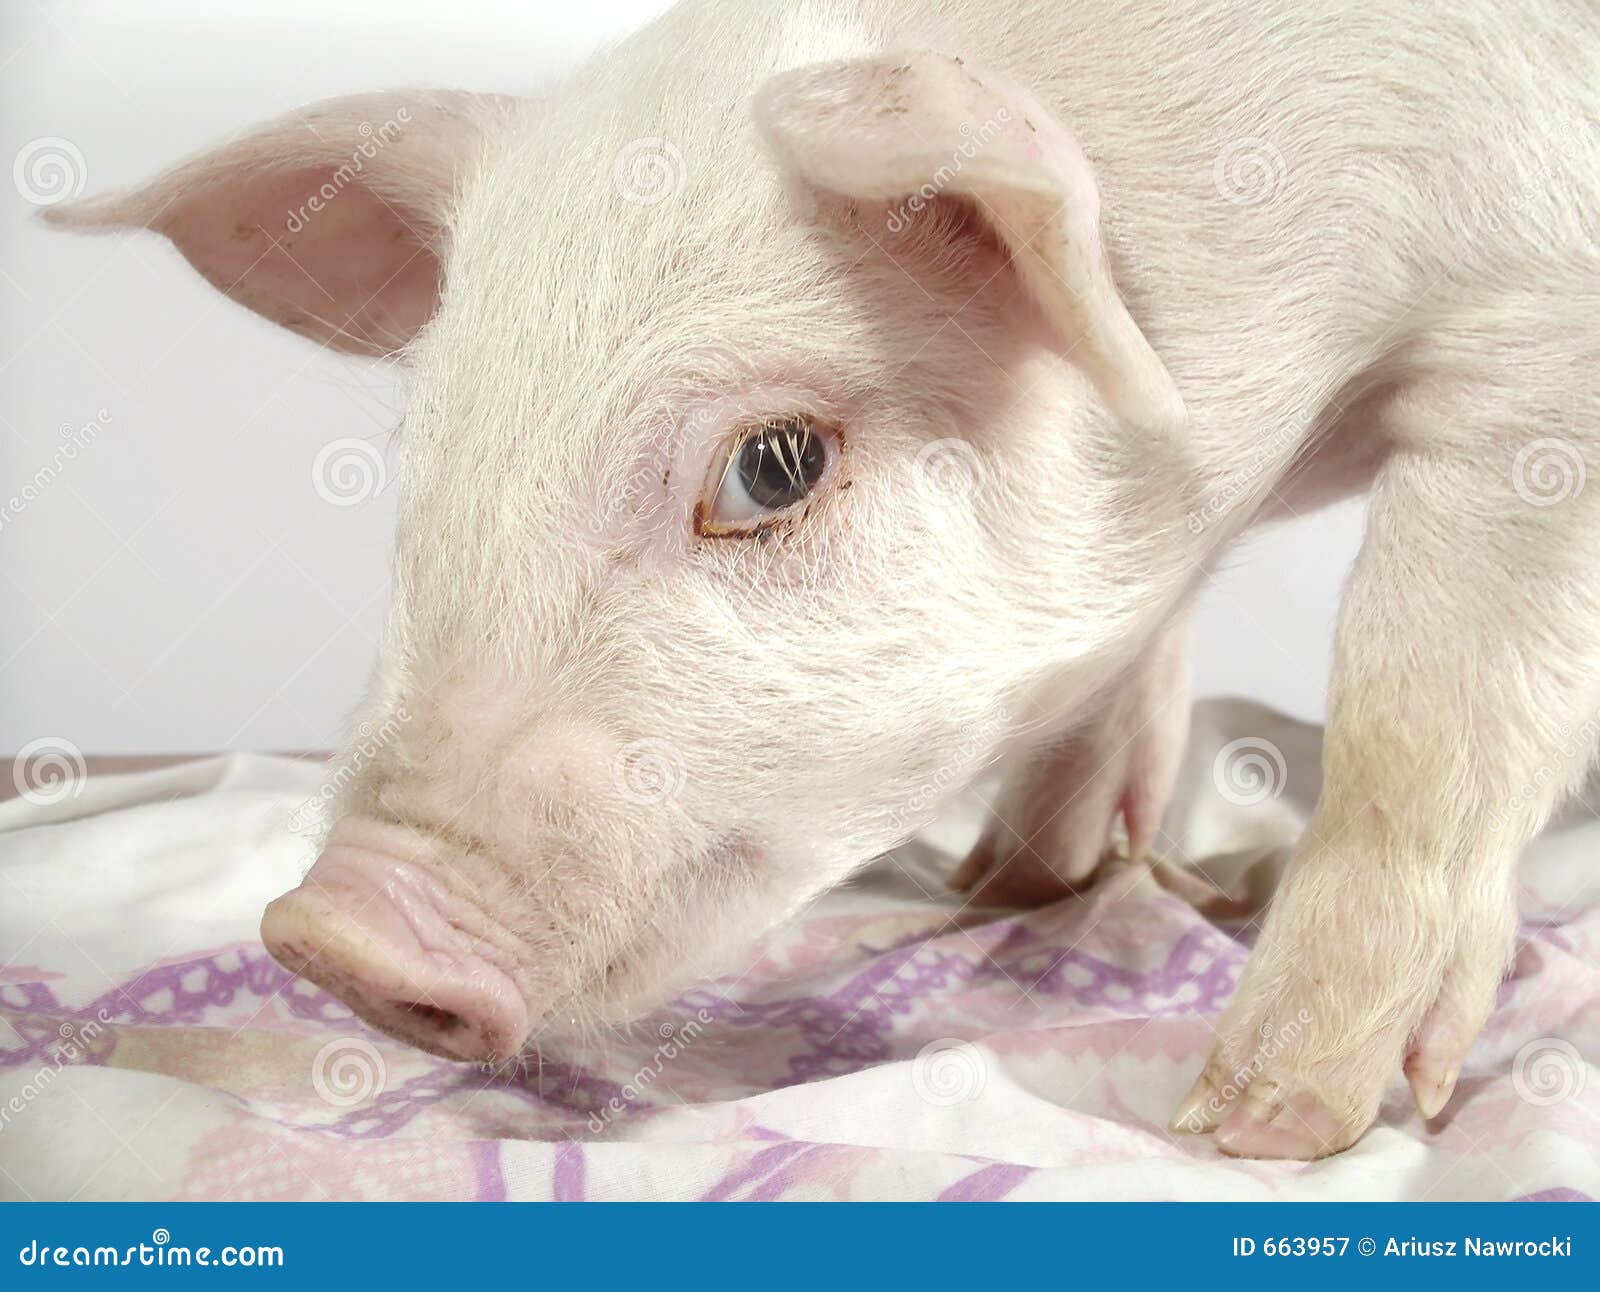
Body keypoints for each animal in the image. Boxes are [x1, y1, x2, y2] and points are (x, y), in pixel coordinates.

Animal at [47, 0, 1600, 1161]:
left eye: (774, 465)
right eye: (426, 449)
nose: (331, 932)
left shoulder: (1539, 354)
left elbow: (1419, 712)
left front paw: (1254, 1127)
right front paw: (1019, 888)